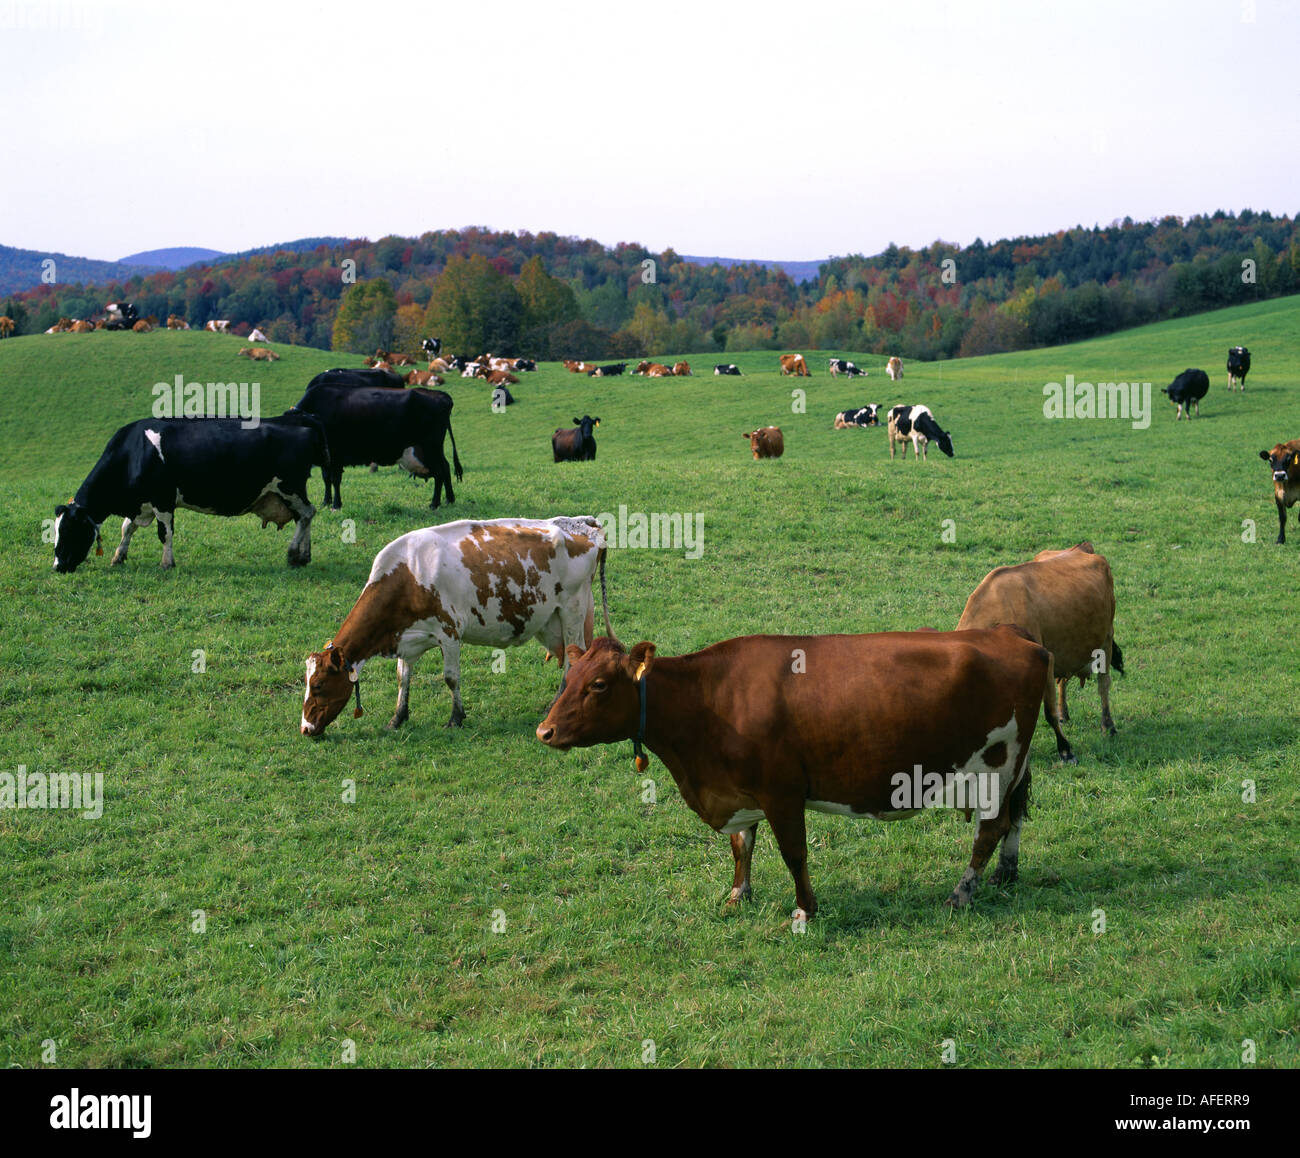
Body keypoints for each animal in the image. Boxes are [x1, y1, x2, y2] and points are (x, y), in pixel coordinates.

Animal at [52, 416, 329, 573]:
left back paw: (293, 554)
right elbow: (126, 528)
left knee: (308, 513)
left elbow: (164, 533)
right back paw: (304, 556)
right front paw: (118, 556)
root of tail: (304, 425)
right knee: (304, 517)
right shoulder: (141, 503)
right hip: (290, 492)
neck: (134, 452)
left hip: (290, 487)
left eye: (69, 530)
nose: (58, 567)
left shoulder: (163, 500)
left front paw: (167, 563)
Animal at [291, 382, 463, 510]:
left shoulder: (336, 455)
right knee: (445, 467)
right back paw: (449, 499)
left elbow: (335, 480)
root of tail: (440, 395)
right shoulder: (327, 459)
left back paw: (434, 503)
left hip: (430, 447)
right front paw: (325, 502)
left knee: (440, 471)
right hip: (433, 449)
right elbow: (326, 479)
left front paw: (336, 505)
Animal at [301, 516, 613, 733]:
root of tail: (582, 522)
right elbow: (403, 678)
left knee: (574, 658)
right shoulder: (408, 639)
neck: (408, 575)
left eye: (317, 685)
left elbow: (450, 677)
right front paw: (397, 718)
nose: (305, 729)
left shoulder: (449, 632)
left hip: (572, 610)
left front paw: (455, 718)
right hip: (555, 618)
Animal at [536, 626, 1049, 917]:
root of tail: (1018, 638)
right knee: (1014, 820)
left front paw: (805, 911)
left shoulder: (780, 791)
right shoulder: (738, 791)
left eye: (599, 684)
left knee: (990, 829)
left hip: (996, 766)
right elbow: (741, 847)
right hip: (1013, 769)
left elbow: (793, 854)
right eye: (568, 678)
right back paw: (1005, 874)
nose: (545, 731)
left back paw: (961, 893)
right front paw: (737, 897)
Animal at [956, 542, 1122, 764]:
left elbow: (1048, 712)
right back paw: (1064, 714)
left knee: (1103, 684)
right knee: (1063, 681)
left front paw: (1065, 750)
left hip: (1106, 639)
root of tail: (1080, 547)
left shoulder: (1046, 661)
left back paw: (1108, 725)